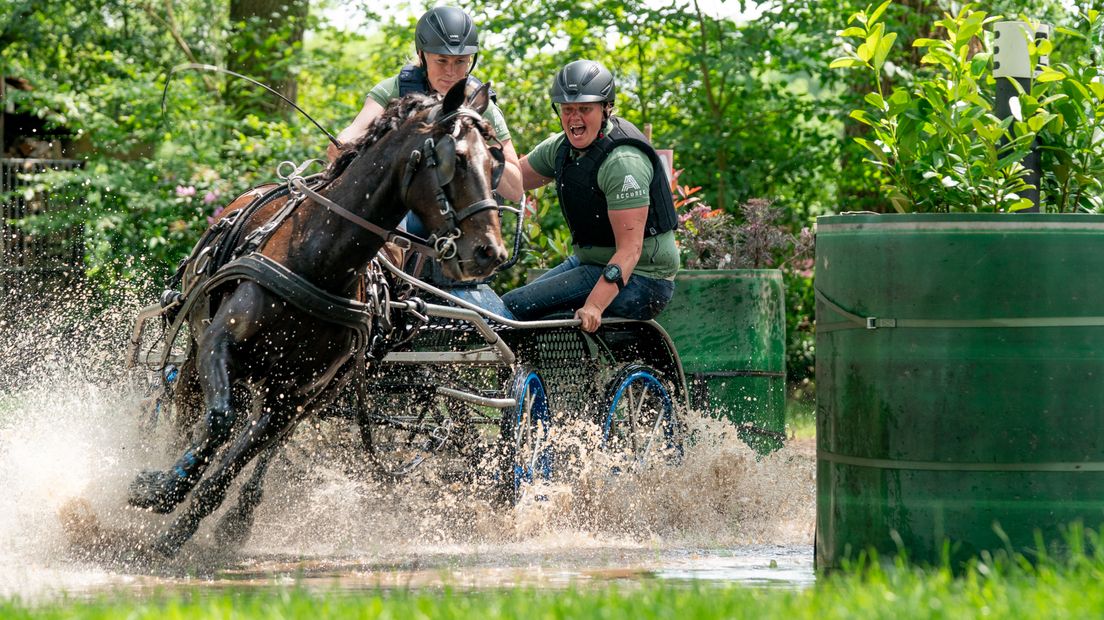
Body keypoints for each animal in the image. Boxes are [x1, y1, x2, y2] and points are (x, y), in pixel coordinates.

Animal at [126, 79, 508, 557]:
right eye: (453, 159)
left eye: (494, 161)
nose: (490, 252)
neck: (319, 257)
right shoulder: (218, 345)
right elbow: (218, 421)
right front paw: (159, 489)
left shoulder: (295, 392)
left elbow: (234, 465)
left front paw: (180, 531)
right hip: (199, 351)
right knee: (190, 415)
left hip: (311, 391)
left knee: (266, 448)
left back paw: (241, 513)